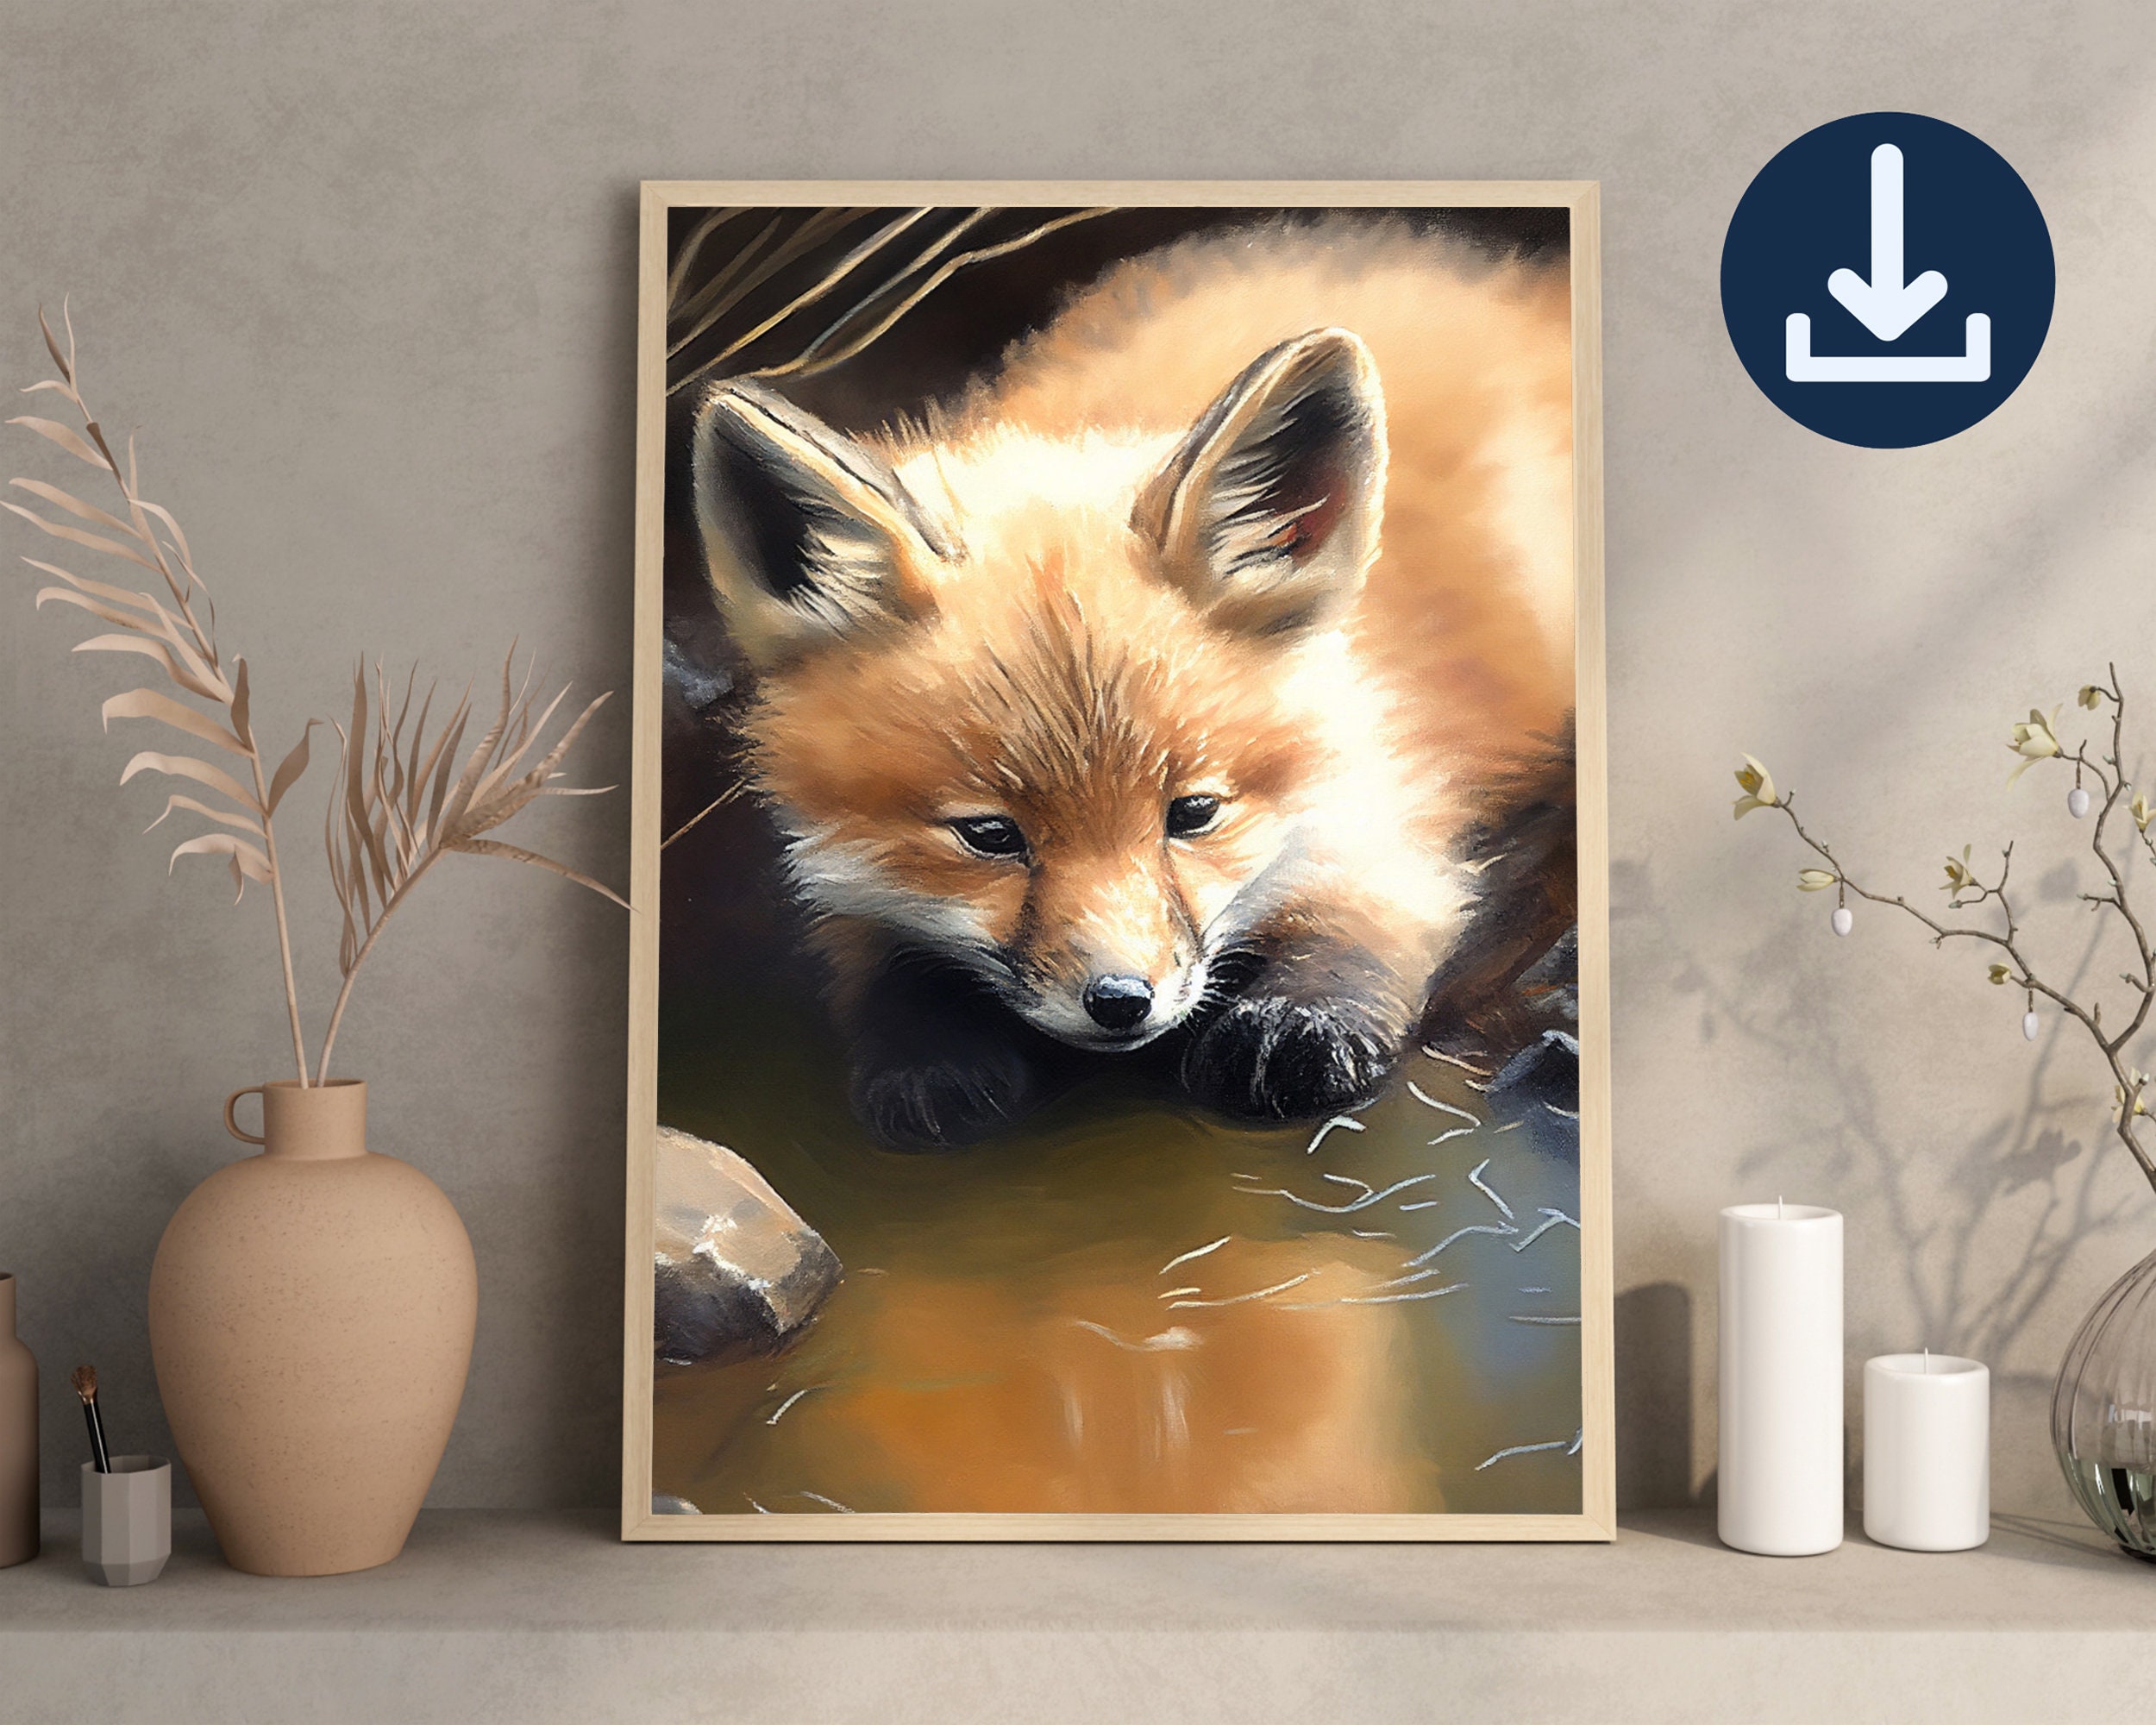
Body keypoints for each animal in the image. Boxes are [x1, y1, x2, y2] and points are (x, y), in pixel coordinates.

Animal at [687, 216, 1577, 1150]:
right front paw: (928, 1055)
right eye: (988, 835)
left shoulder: (1383, 813)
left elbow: (1378, 921)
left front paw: (1295, 1023)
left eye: (1194, 813)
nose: (1120, 1003)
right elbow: (881, 960)